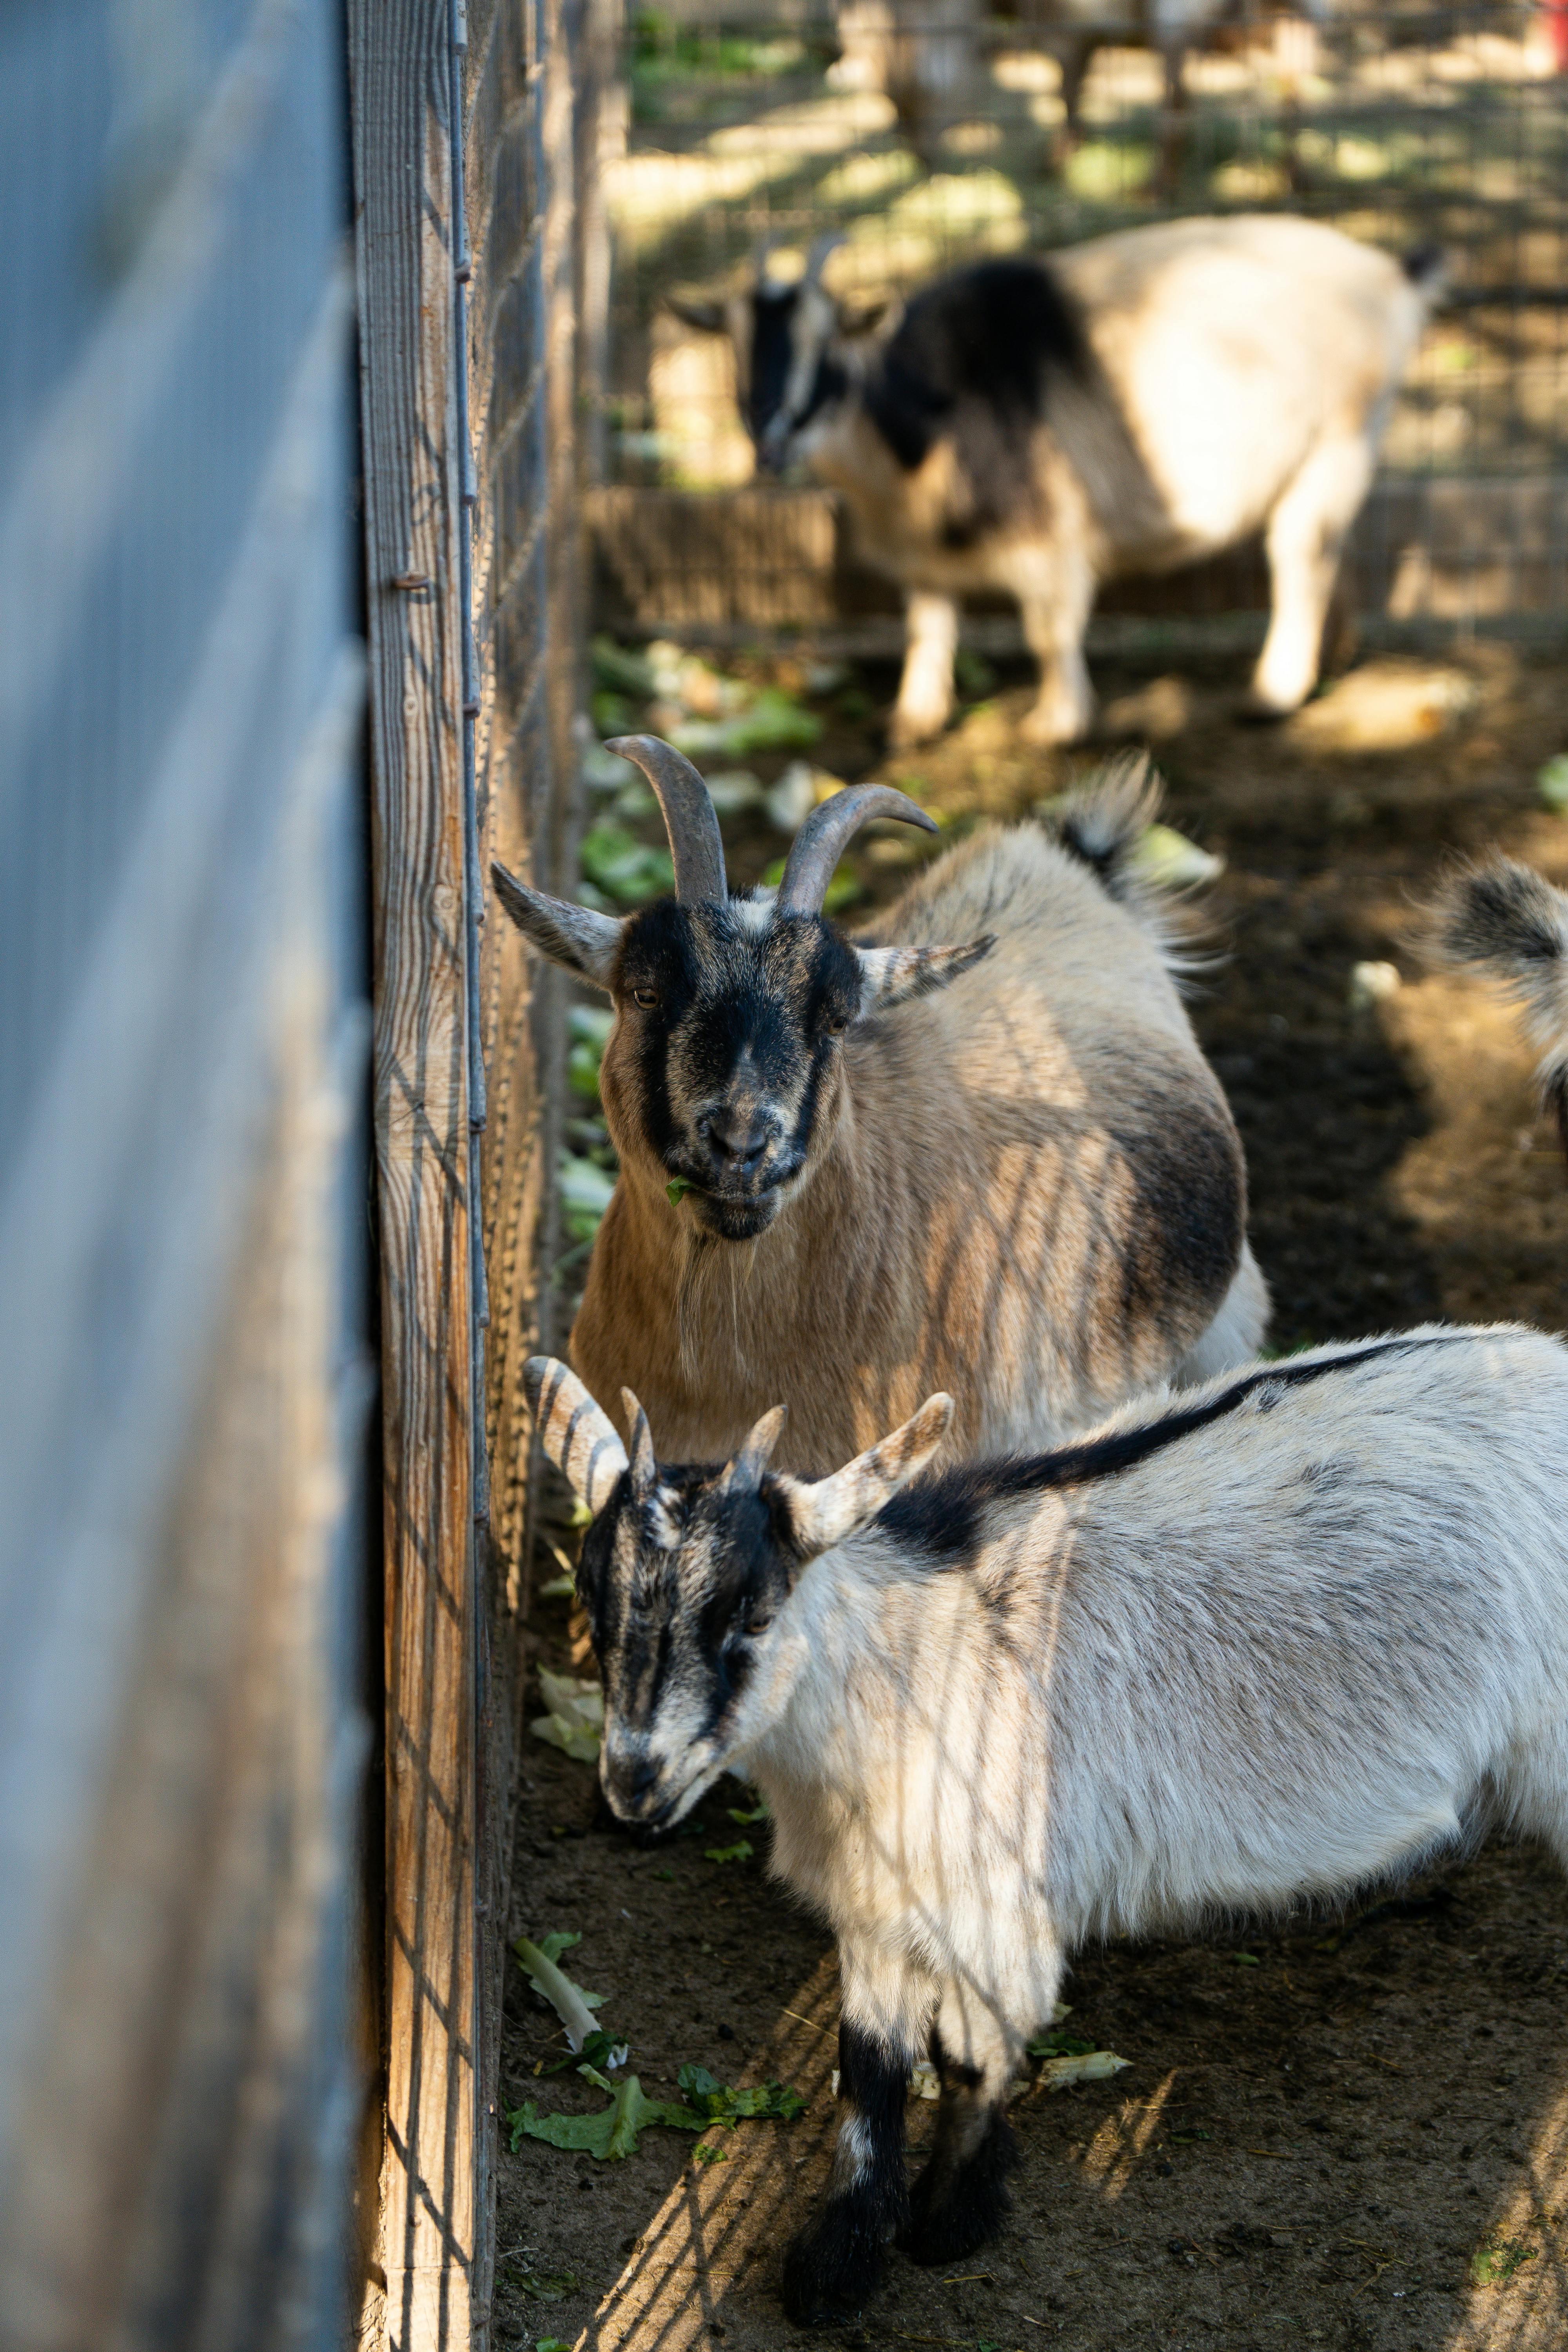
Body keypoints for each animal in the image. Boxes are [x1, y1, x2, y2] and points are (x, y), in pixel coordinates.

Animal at [527, 1322, 1568, 2320]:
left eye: (751, 1615)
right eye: (592, 1603)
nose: (634, 1782)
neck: (906, 1660)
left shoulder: (997, 1906)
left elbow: (971, 2061)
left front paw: (951, 2222)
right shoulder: (880, 1898)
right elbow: (868, 2068)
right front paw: (839, 2261)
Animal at [668, 220, 1442, 748]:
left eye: (825, 345)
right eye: (733, 344)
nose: (769, 438)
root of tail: (1390, 274)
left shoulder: (1047, 531)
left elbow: (1048, 629)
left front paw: (1059, 722)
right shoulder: (922, 545)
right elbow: (929, 623)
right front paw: (915, 719)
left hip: (1340, 434)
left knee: (1301, 556)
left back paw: (1272, 694)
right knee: (1332, 550)